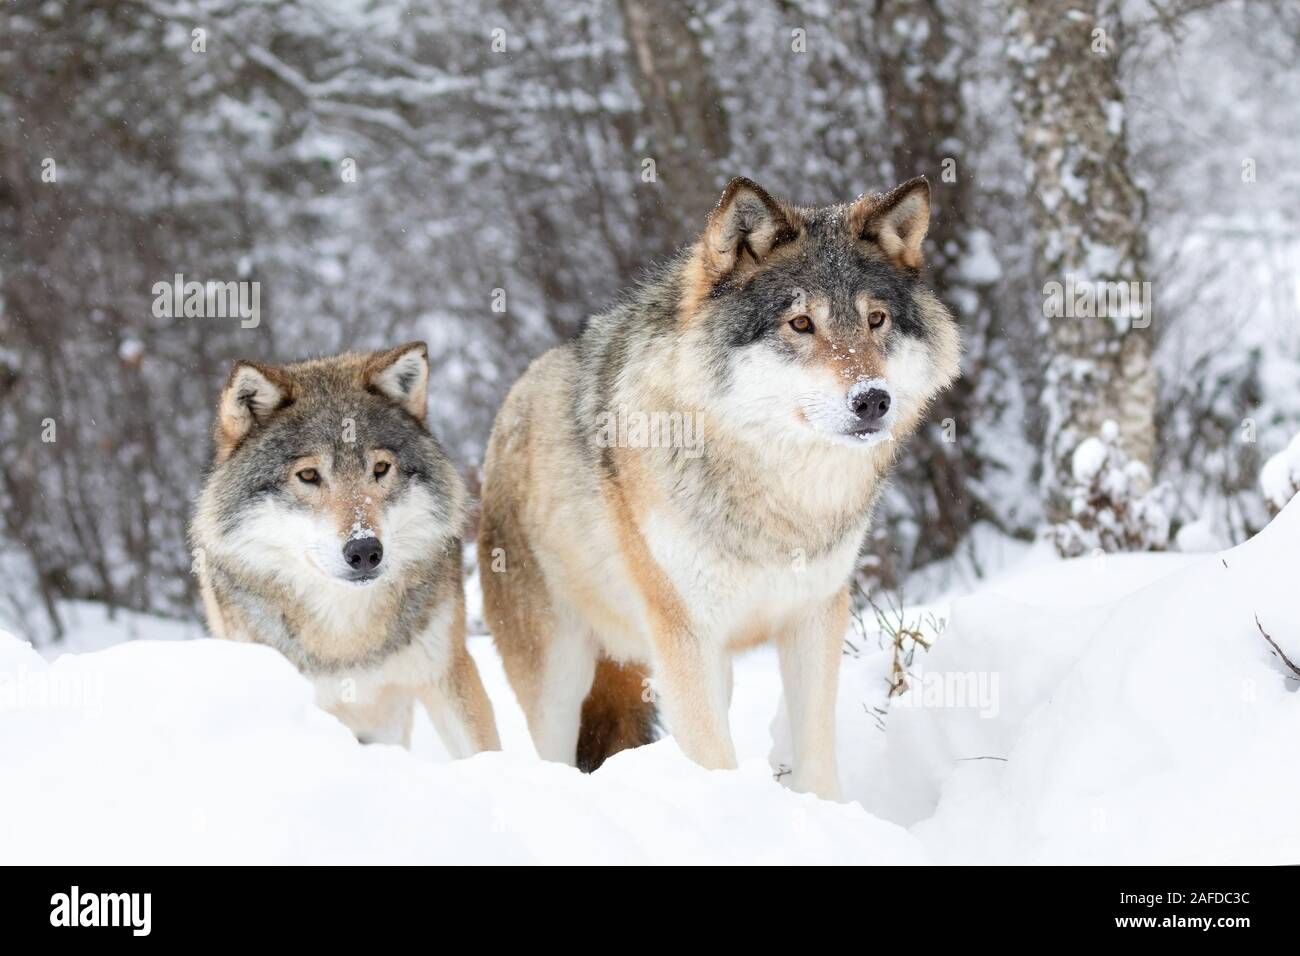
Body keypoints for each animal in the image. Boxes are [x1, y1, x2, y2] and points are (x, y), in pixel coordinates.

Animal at [479, 177, 960, 799]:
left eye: (875, 319)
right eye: (800, 324)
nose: (873, 400)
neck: (778, 497)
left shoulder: (815, 617)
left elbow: (815, 758)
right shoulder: (685, 635)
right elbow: (712, 759)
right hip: (560, 676)